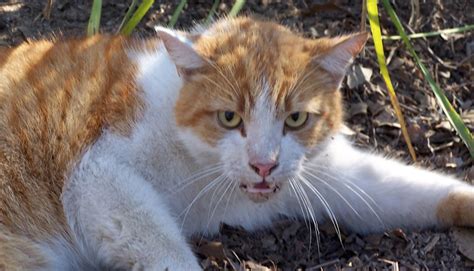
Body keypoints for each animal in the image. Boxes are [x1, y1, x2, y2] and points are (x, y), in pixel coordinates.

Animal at [0, 15, 474, 270]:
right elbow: (162, 246)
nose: (264, 164)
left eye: (295, 118)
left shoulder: (329, 173)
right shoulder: (97, 175)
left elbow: (408, 189)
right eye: (230, 118)